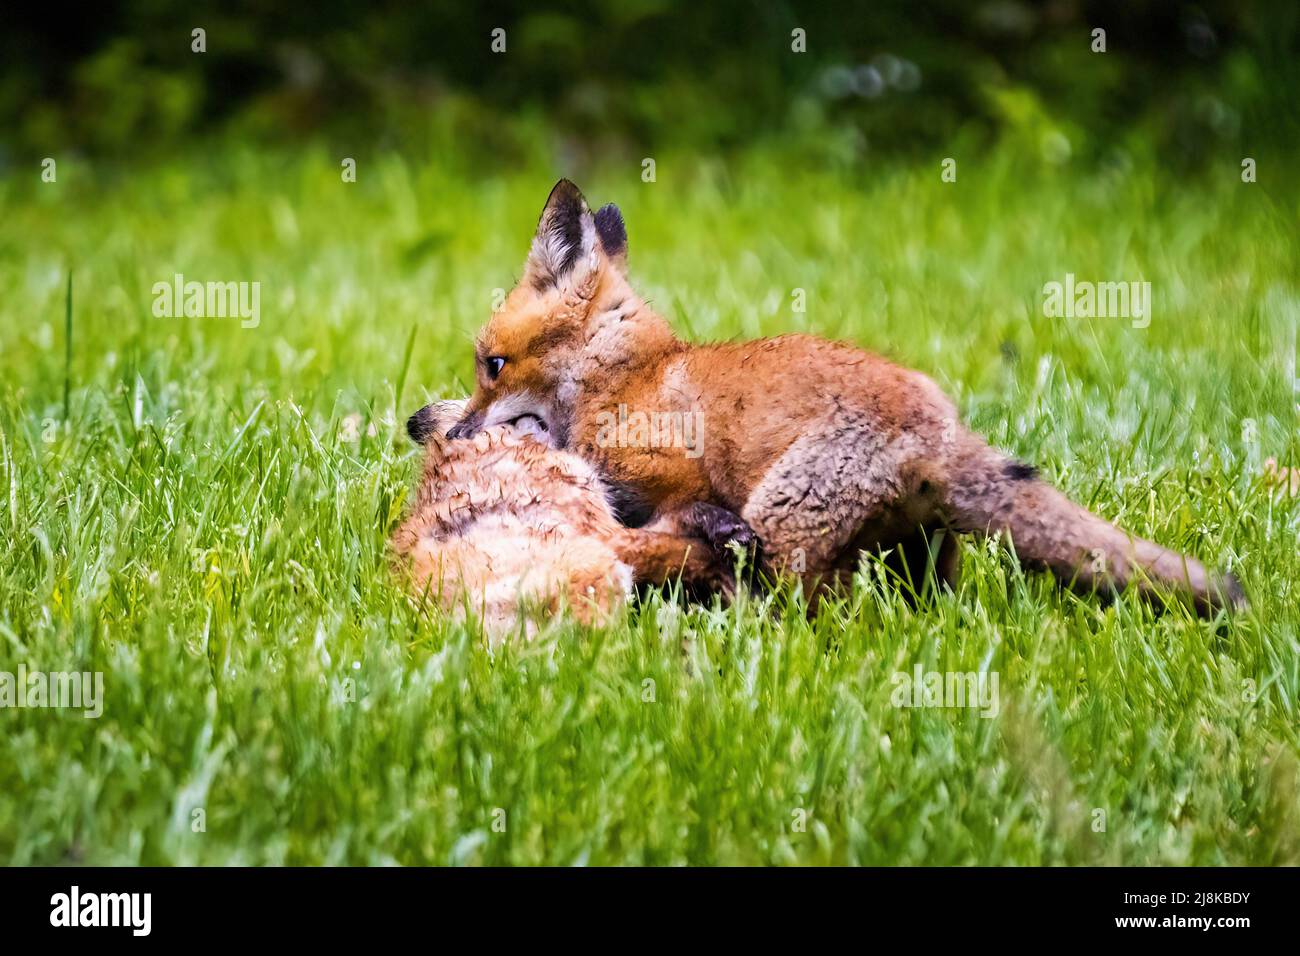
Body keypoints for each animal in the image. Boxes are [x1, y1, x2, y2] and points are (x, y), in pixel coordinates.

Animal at [436, 179, 1246, 618]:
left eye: (491, 367)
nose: (432, 430)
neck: (627, 378)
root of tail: (940, 430)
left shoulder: (677, 477)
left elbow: (686, 521)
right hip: (919, 555)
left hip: (786, 527)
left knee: (798, 615)